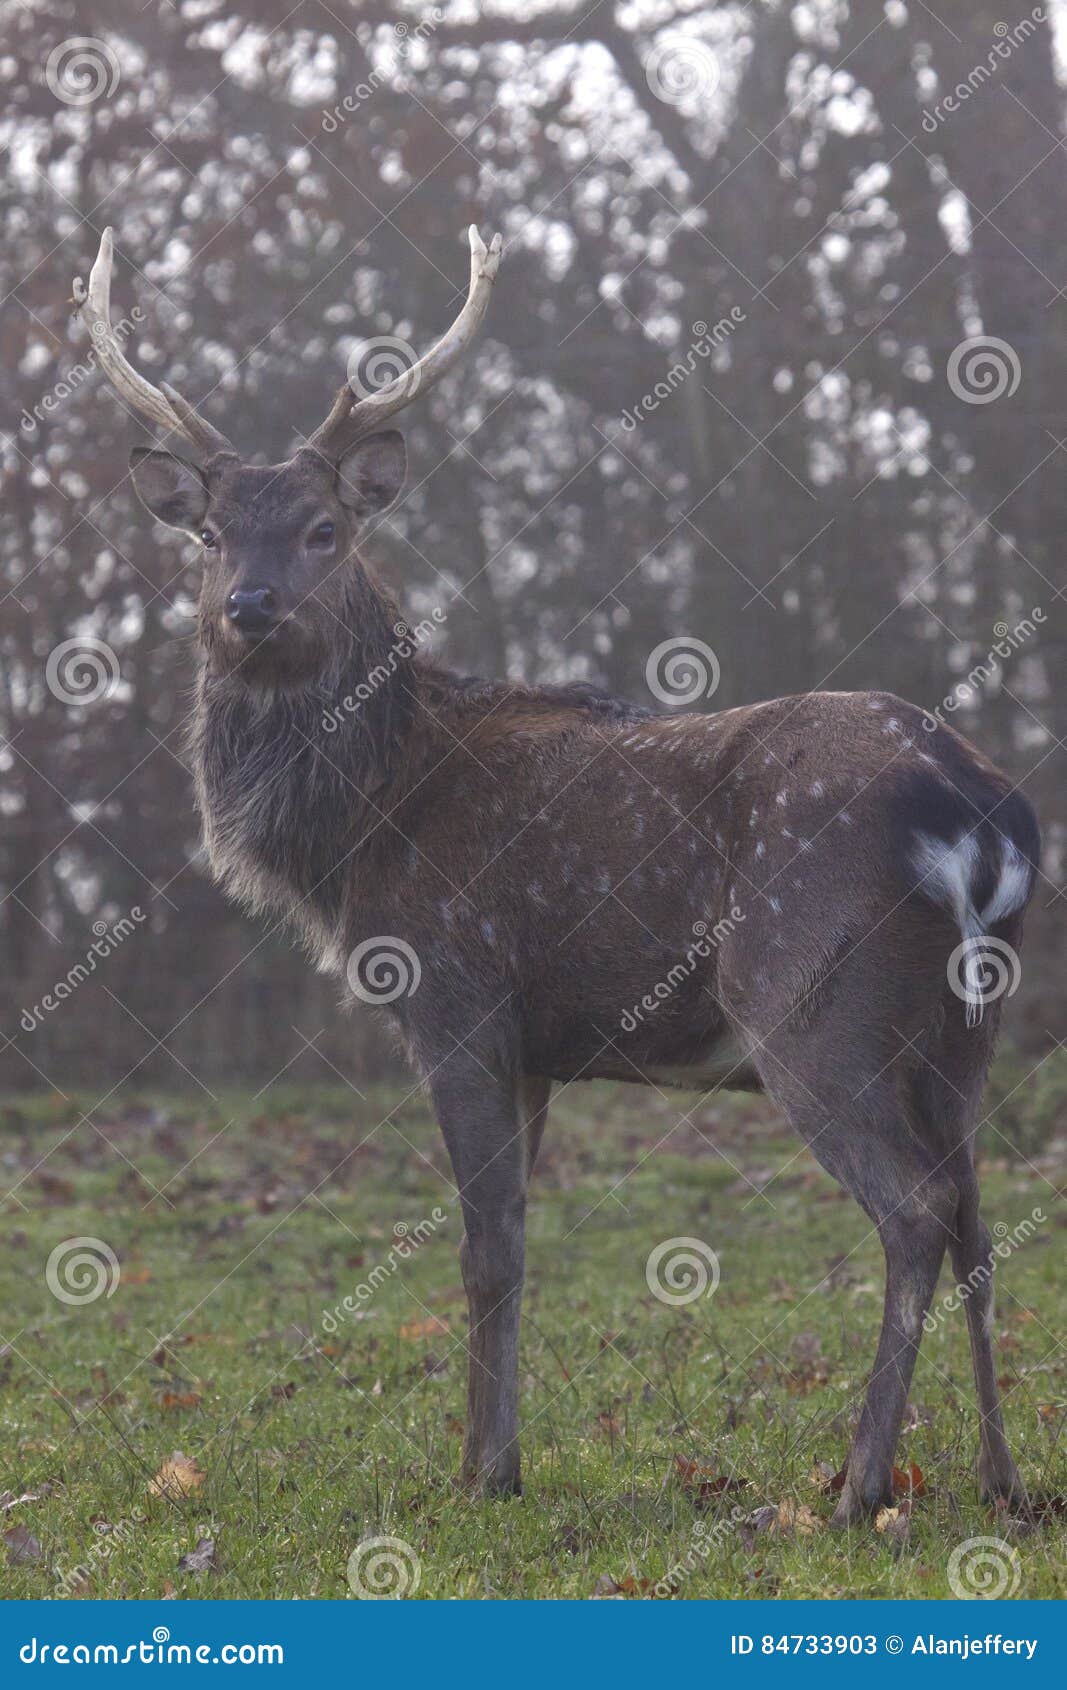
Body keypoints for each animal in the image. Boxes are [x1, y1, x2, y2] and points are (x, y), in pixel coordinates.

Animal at [72, 225, 1040, 1526]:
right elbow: (519, 1239)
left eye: (325, 528)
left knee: (915, 1209)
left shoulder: (454, 997)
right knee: (978, 1212)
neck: (362, 827)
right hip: (961, 1032)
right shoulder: (532, 1047)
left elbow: (483, 1246)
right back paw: (996, 1479)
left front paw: (477, 1476)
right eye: (210, 529)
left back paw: (853, 1490)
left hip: (809, 998)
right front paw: (498, 1459)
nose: (249, 605)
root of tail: (982, 812)